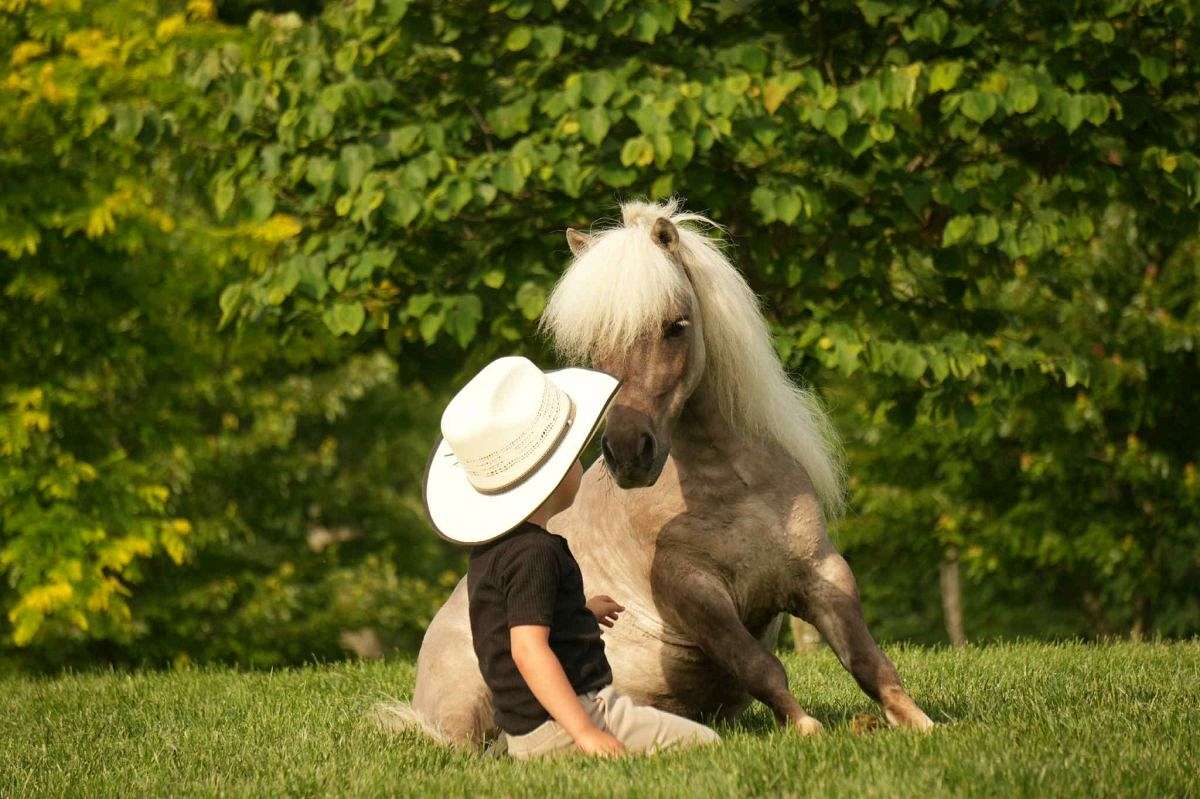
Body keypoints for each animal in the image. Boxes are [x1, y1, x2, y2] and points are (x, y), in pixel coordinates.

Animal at [376, 199, 933, 747]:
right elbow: (759, 666)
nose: (628, 453)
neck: (734, 484)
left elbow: (867, 660)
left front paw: (919, 722)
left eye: (676, 325)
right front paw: (806, 728)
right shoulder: (693, 591)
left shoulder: (821, 572)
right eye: (596, 344)